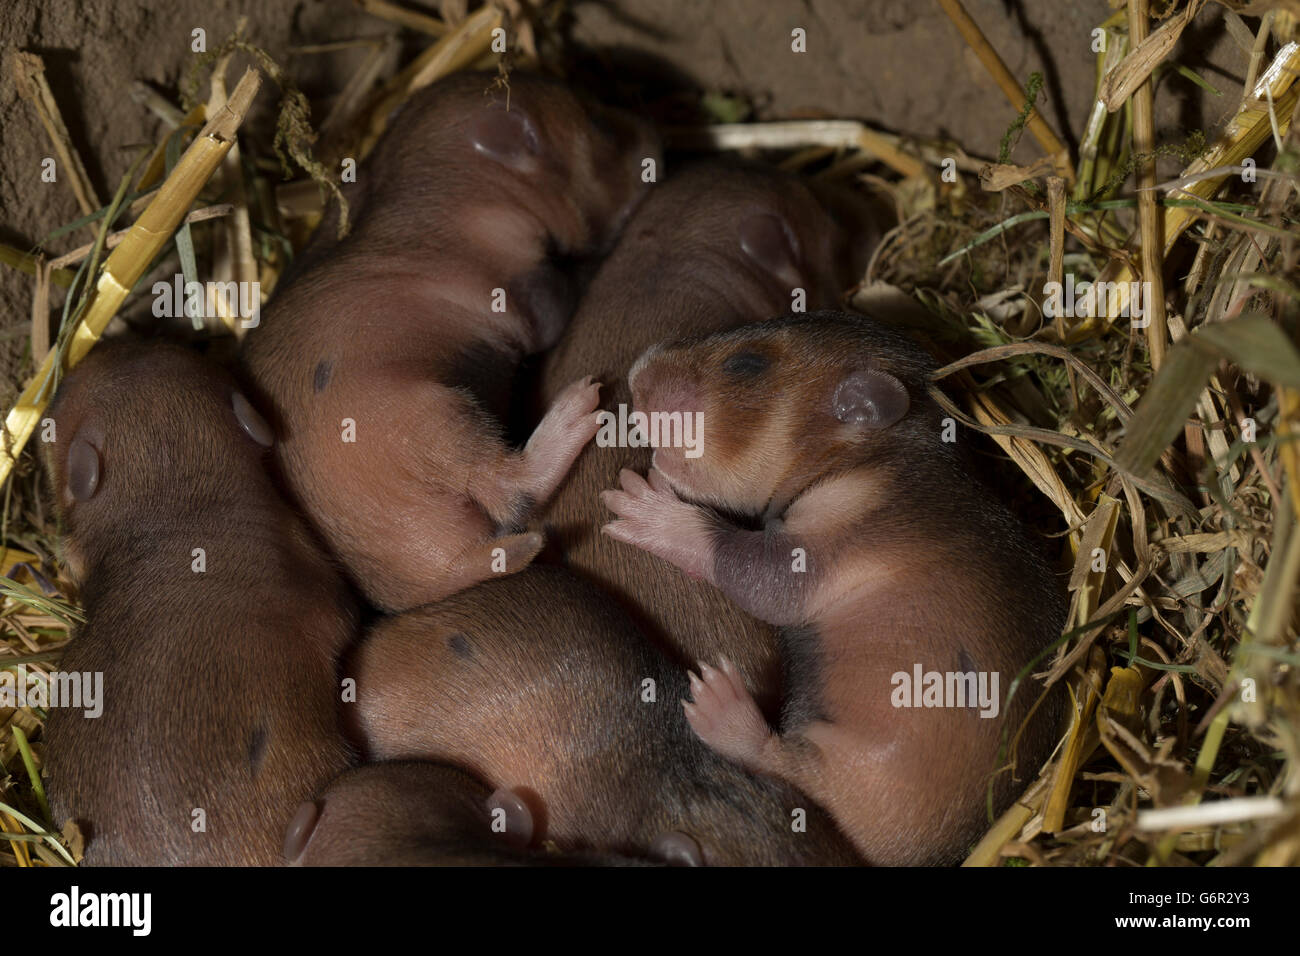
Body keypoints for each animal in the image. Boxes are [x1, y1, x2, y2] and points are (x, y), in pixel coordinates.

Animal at [241, 70, 660, 612]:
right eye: (599, 124)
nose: (658, 139)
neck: (443, 191)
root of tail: (435, 570)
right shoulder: (522, 284)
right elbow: (559, 302)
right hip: (430, 418)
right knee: (510, 488)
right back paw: (573, 413)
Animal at [602, 311, 1066, 865]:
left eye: (746, 364)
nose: (637, 370)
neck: (870, 459)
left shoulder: (831, 538)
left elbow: (756, 575)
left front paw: (651, 511)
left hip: (854, 775)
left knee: (782, 766)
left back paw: (723, 710)